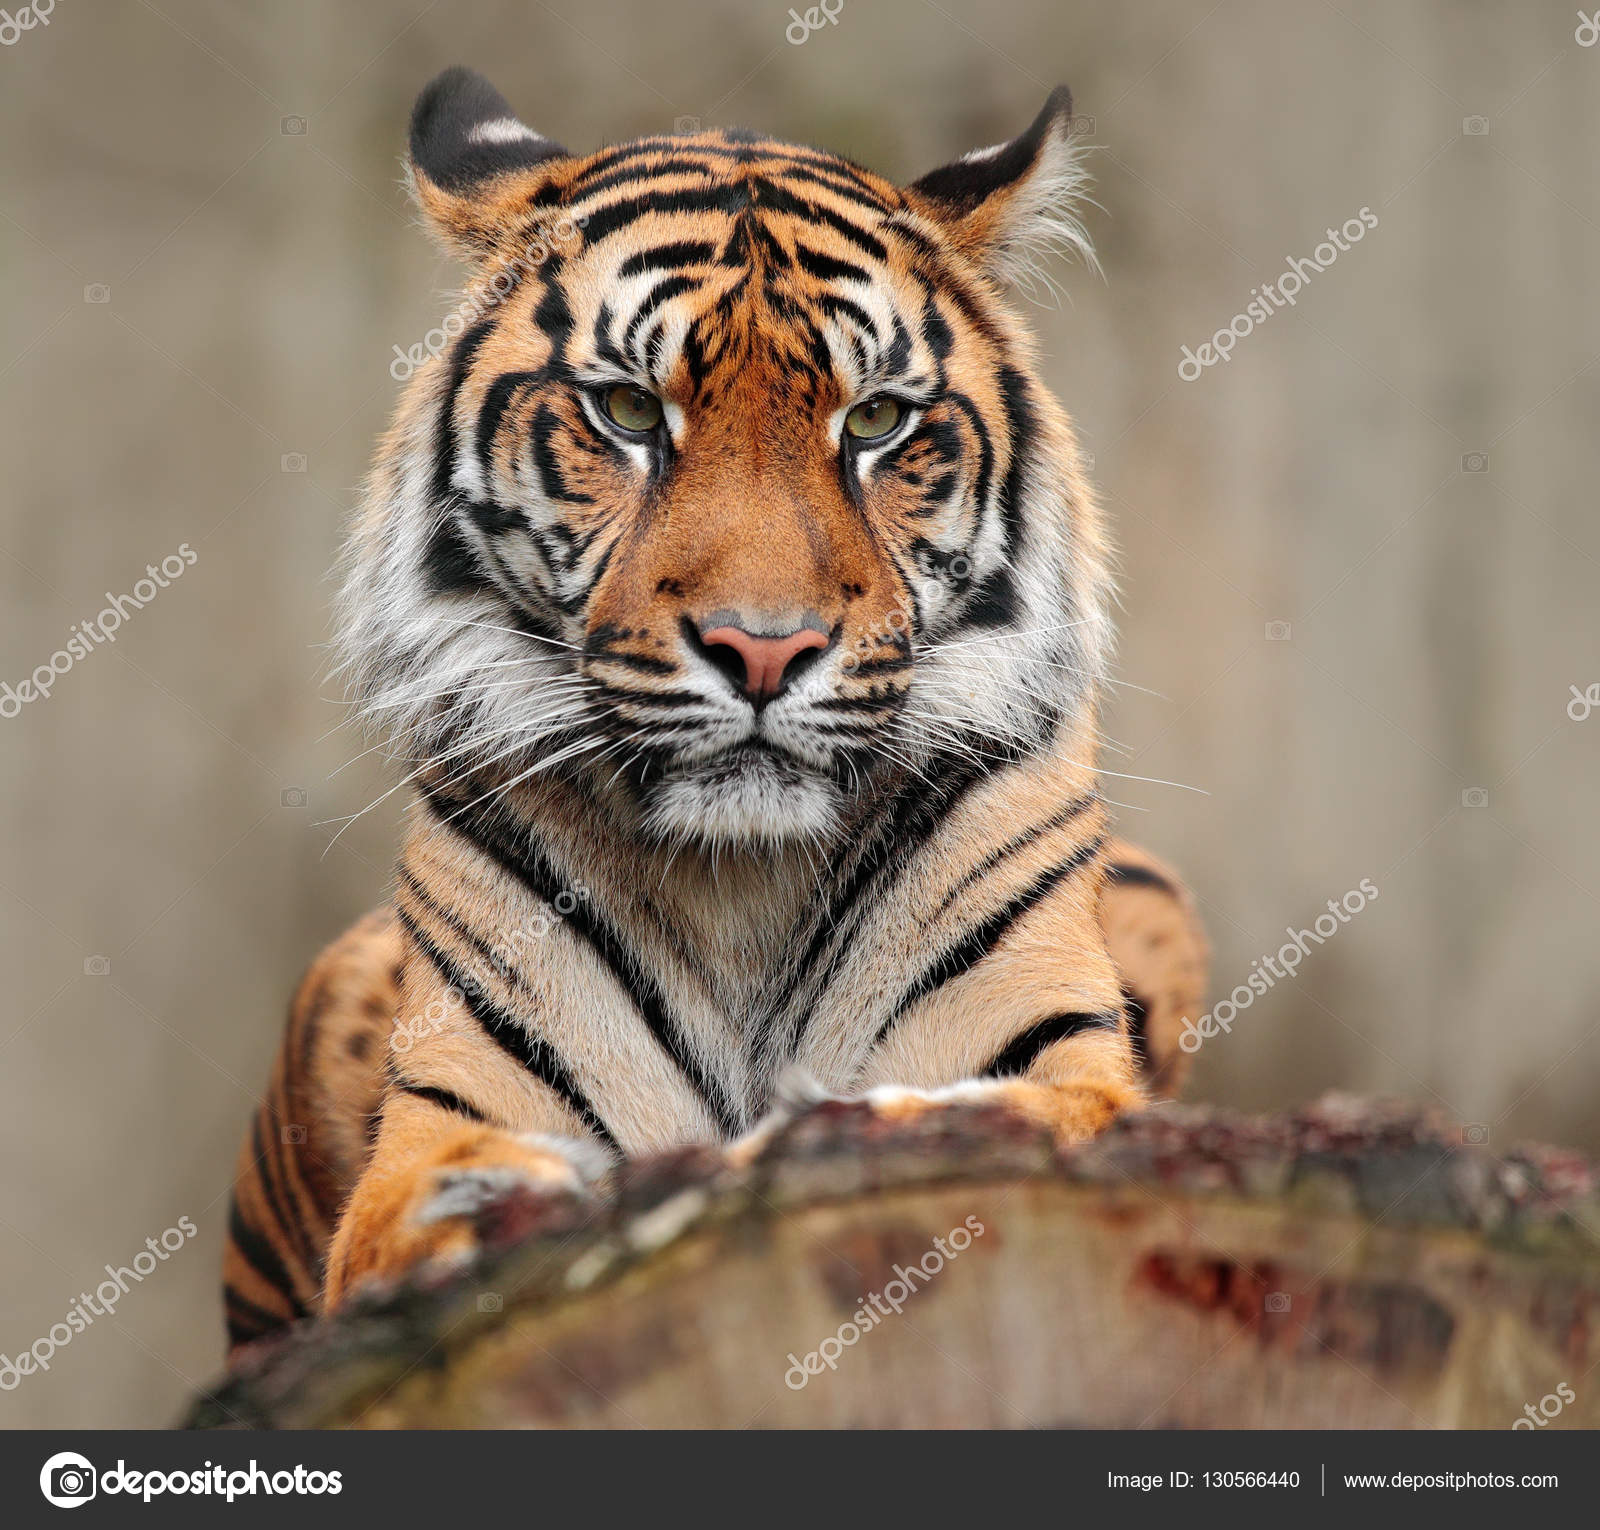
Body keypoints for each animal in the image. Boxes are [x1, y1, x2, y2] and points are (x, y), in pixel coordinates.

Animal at [222, 67, 1208, 1356]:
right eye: (630, 414)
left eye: (875, 421)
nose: (763, 647)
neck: (743, 882)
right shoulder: (445, 1109)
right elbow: (421, 1209)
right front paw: (501, 1202)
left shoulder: (1053, 1064)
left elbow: (1011, 1121)